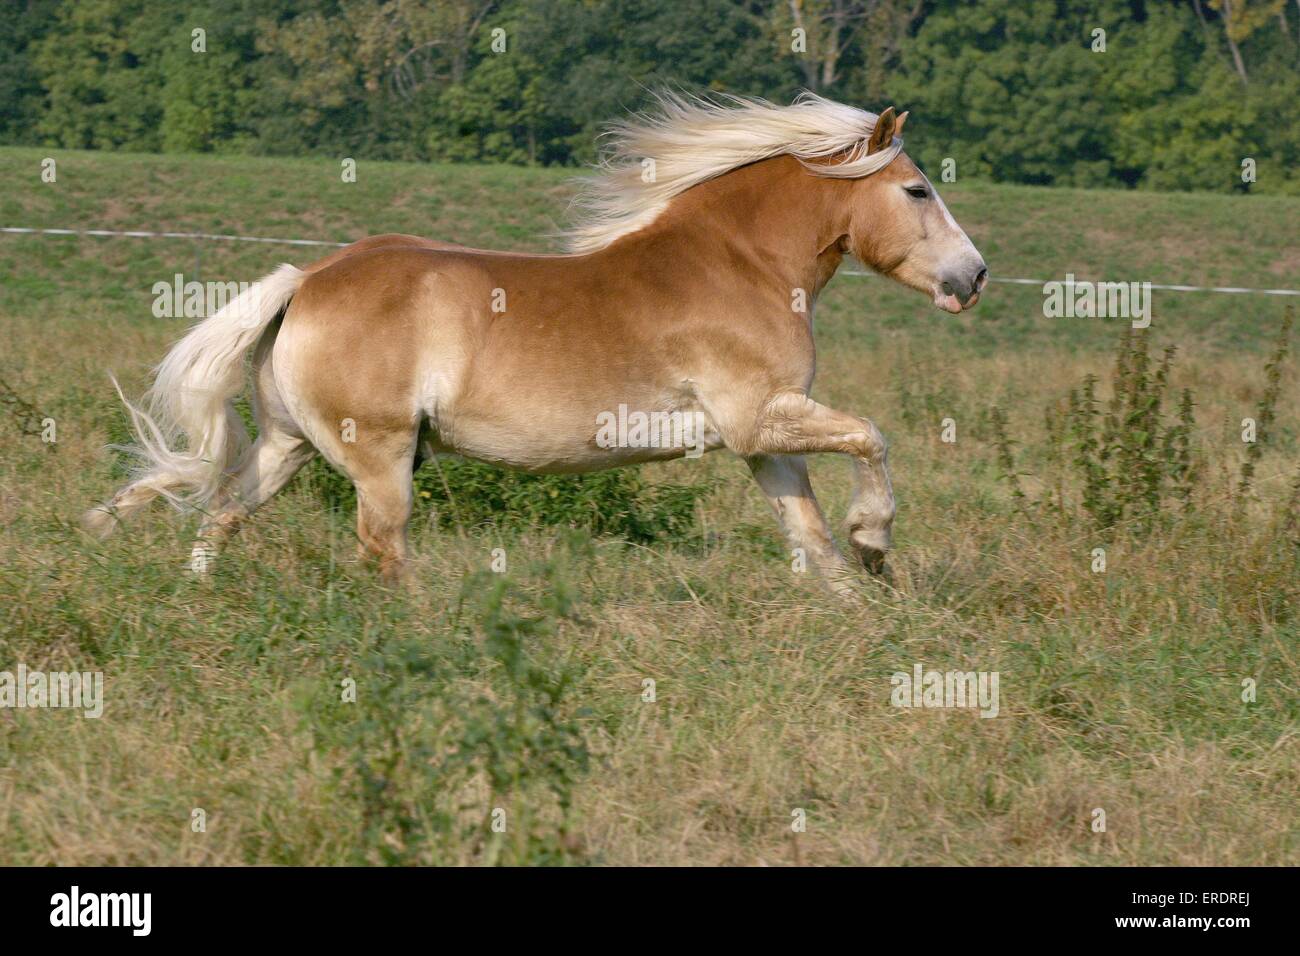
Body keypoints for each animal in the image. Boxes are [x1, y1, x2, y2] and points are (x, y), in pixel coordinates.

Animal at [85, 92, 987, 593]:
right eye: (918, 189)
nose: (973, 276)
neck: (742, 266)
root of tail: (306, 279)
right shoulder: (760, 416)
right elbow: (871, 438)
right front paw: (876, 541)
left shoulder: (763, 440)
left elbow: (809, 534)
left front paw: (857, 600)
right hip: (379, 457)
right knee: (381, 549)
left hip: (288, 445)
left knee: (224, 513)